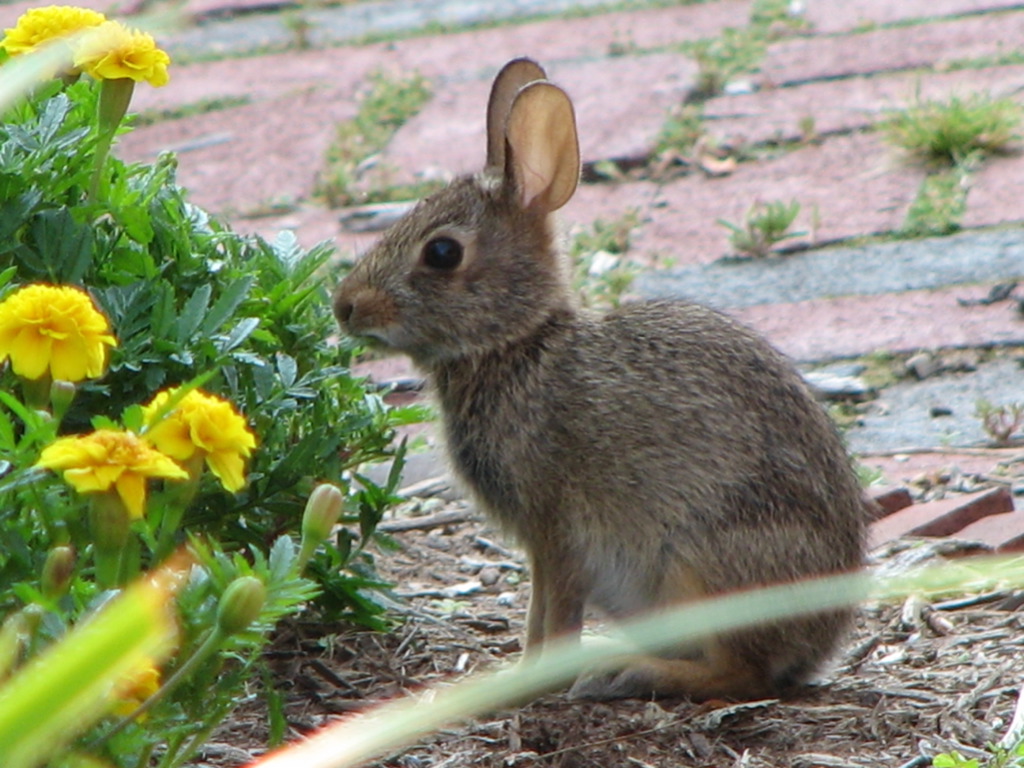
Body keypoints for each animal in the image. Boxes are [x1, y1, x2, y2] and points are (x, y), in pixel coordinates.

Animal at [333, 58, 867, 702]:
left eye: (441, 253)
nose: (345, 307)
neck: (519, 343)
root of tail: (819, 644)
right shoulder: (542, 540)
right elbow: (539, 611)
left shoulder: (558, 530)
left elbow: (554, 612)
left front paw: (528, 680)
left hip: (699, 566)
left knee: (741, 671)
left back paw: (627, 671)